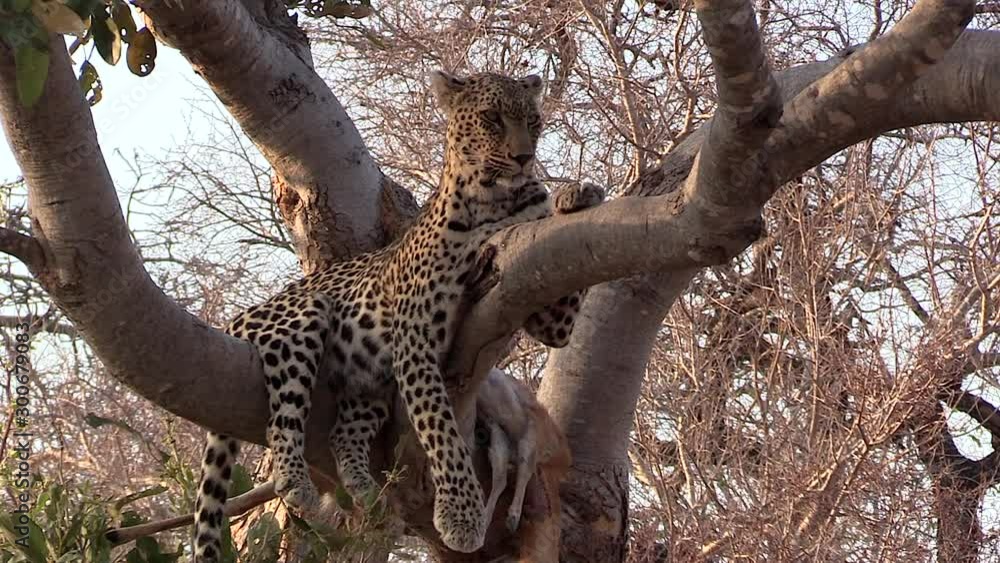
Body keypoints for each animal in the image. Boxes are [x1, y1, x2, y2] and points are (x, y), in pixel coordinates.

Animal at [190, 70, 597, 561]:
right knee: (283, 419)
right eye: (492, 119)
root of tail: (239, 317)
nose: (525, 158)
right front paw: (462, 516)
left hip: (365, 385)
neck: (492, 199)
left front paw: (578, 193)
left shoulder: (547, 310)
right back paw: (296, 482)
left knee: (343, 434)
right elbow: (441, 429)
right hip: (303, 316)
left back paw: (367, 493)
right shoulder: (416, 339)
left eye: (534, 122)